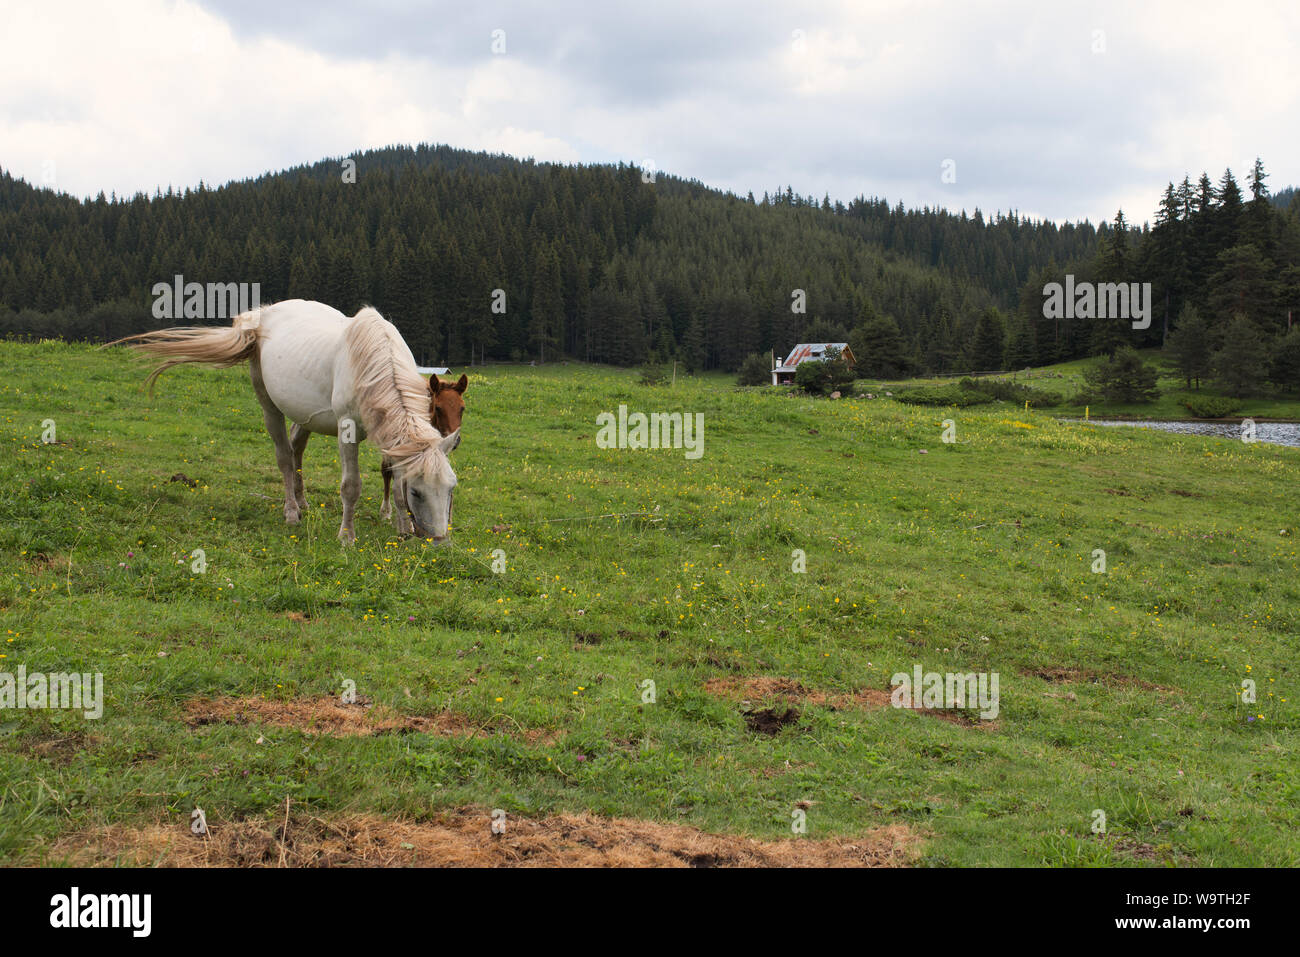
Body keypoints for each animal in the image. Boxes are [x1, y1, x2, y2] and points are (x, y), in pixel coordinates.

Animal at [115, 300, 459, 543]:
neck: (374, 359)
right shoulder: (347, 429)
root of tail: (261, 316)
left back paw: (302, 502)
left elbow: (394, 480)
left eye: (451, 488)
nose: (439, 541)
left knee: (296, 451)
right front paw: (346, 536)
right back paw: (292, 512)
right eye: (419, 493)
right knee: (284, 456)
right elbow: (351, 486)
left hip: (304, 416)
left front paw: (401, 527)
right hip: (269, 406)